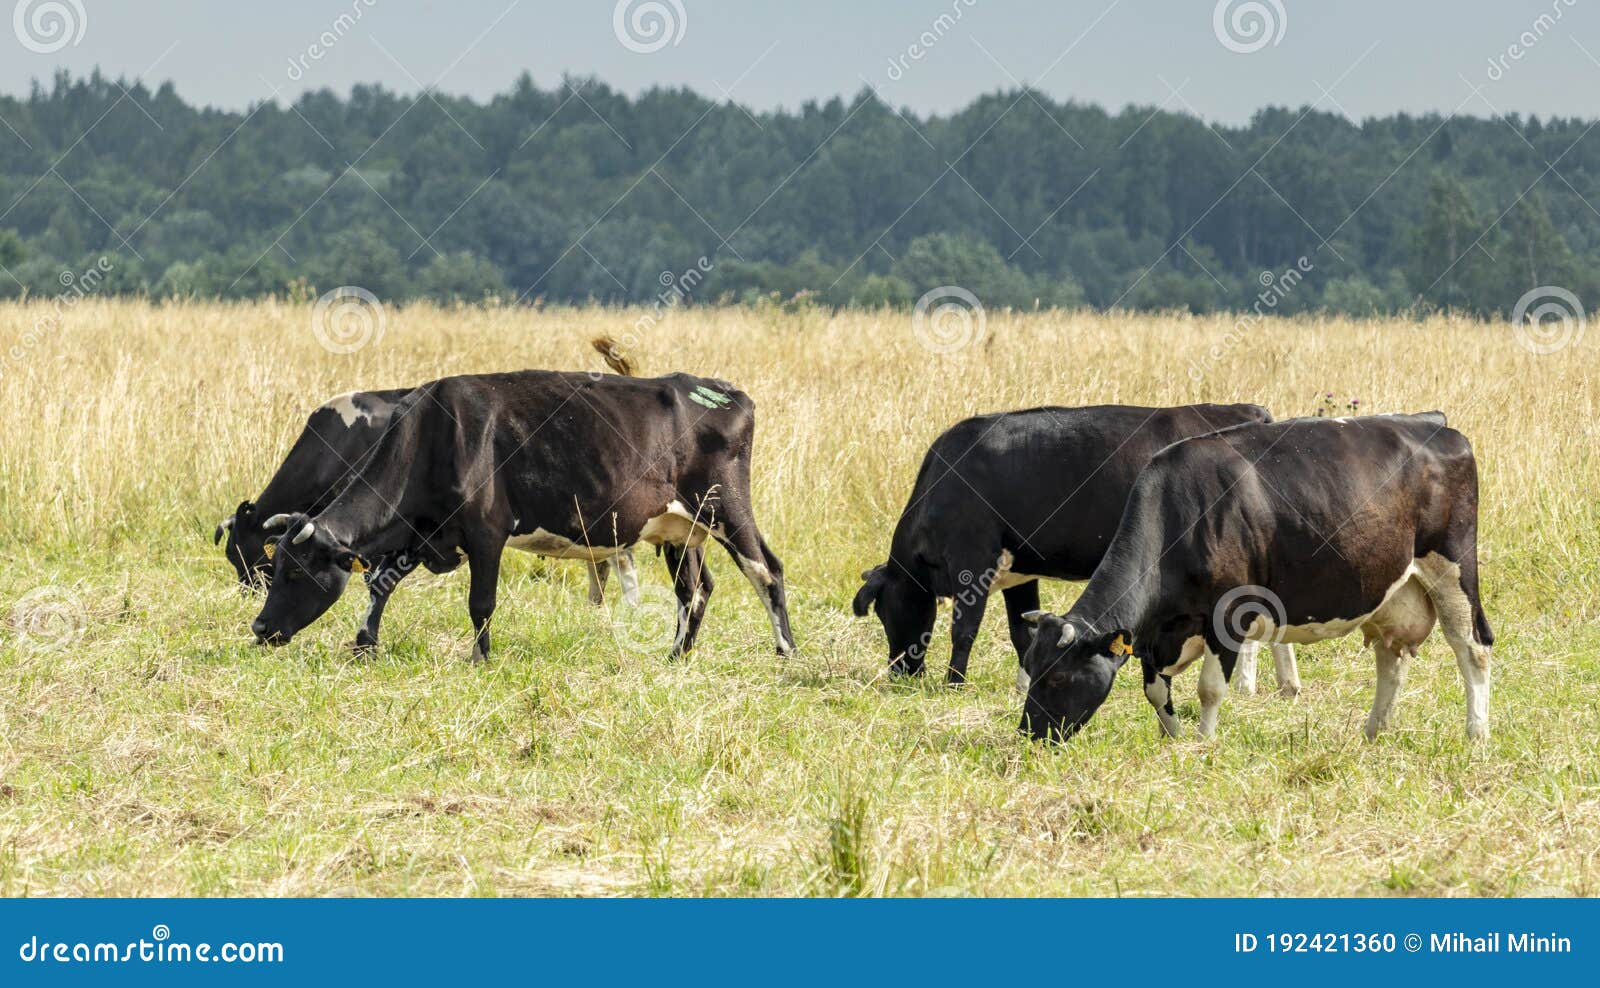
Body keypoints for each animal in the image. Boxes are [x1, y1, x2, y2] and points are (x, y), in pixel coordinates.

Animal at [851, 403, 1300, 692]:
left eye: (887, 612)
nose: (900, 674)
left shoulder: (971, 561)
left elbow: (964, 629)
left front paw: (954, 684)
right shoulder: (1020, 570)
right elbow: (1021, 632)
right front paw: (1026, 681)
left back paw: (1245, 684)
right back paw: (1286, 684)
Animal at [1016, 412, 1492, 743]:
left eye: (1057, 678)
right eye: (1030, 669)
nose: (1028, 735)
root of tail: (1440, 429)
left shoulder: (1226, 615)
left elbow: (1209, 689)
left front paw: (1203, 744)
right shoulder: (1152, 634)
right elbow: (1155, 692)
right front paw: (1171, 741)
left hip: (1452, 568)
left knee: (1472, 647)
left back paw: (1476, 733)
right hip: (1392, 589)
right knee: (1390, 659)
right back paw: (1374, 731)